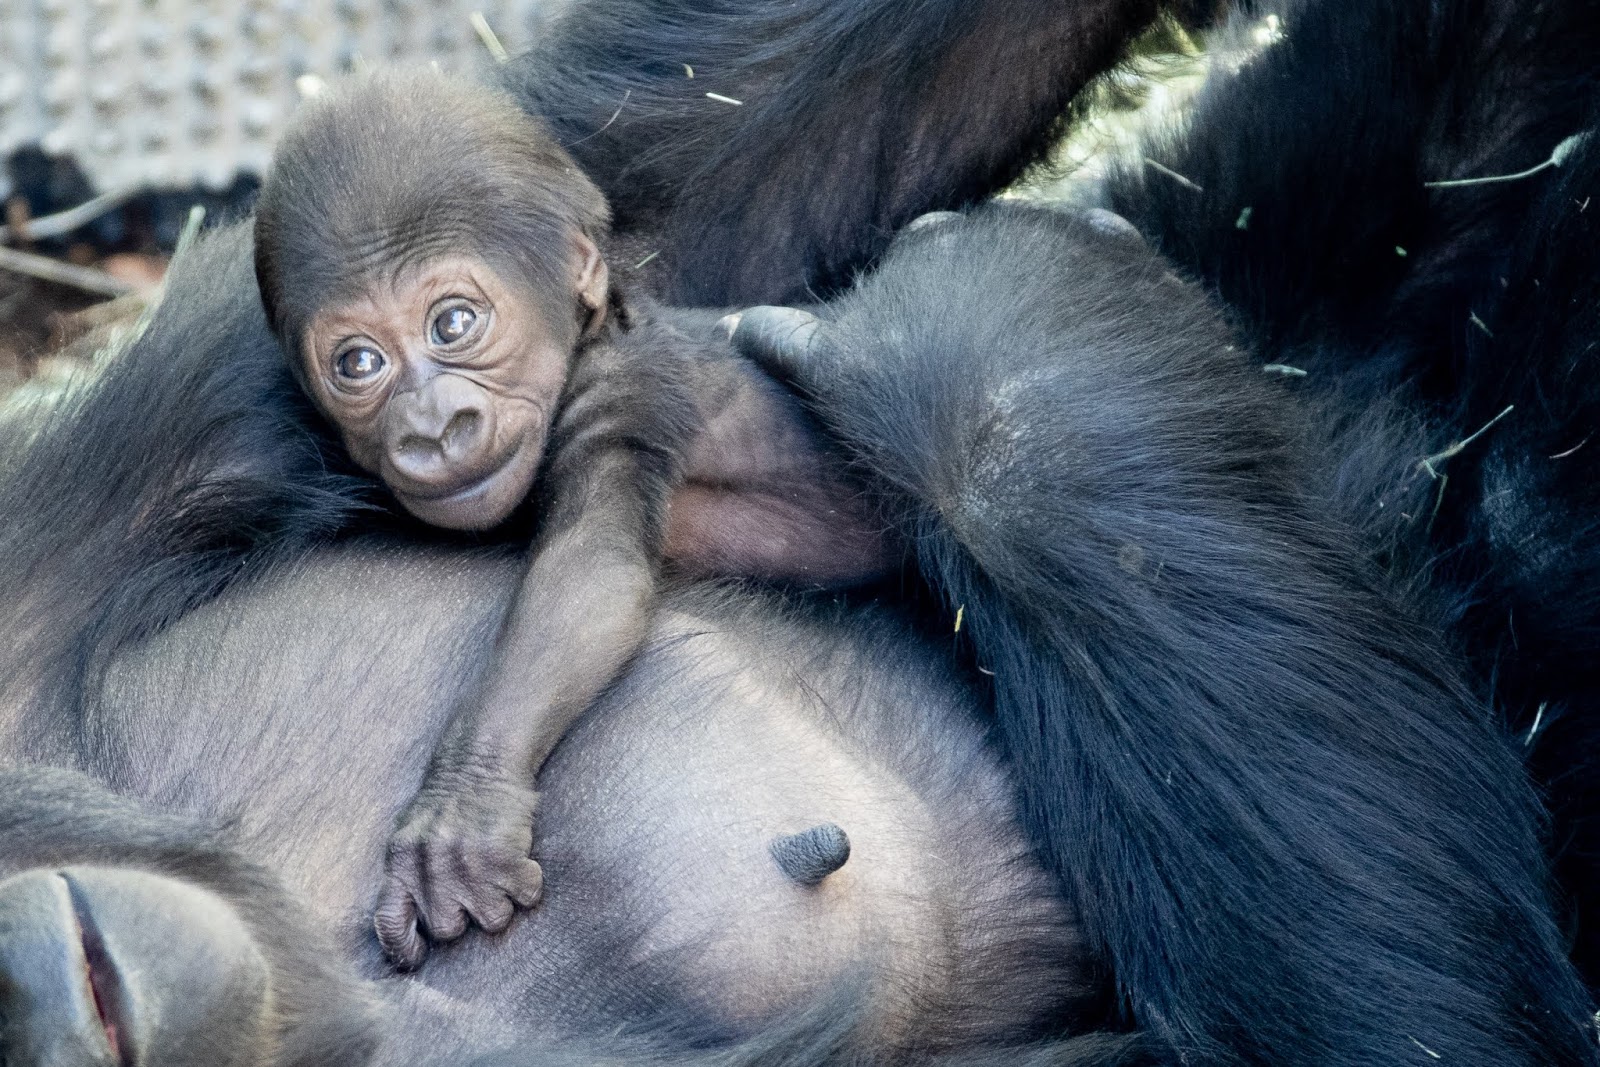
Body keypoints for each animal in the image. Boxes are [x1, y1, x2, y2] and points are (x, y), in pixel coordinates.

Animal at [253, 70, 892, 969]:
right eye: (359, 363)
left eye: (455, 322)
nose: (431, 428)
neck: (592, 332)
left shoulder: (625, 386)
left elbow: (590, 575)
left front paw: (464, 807)